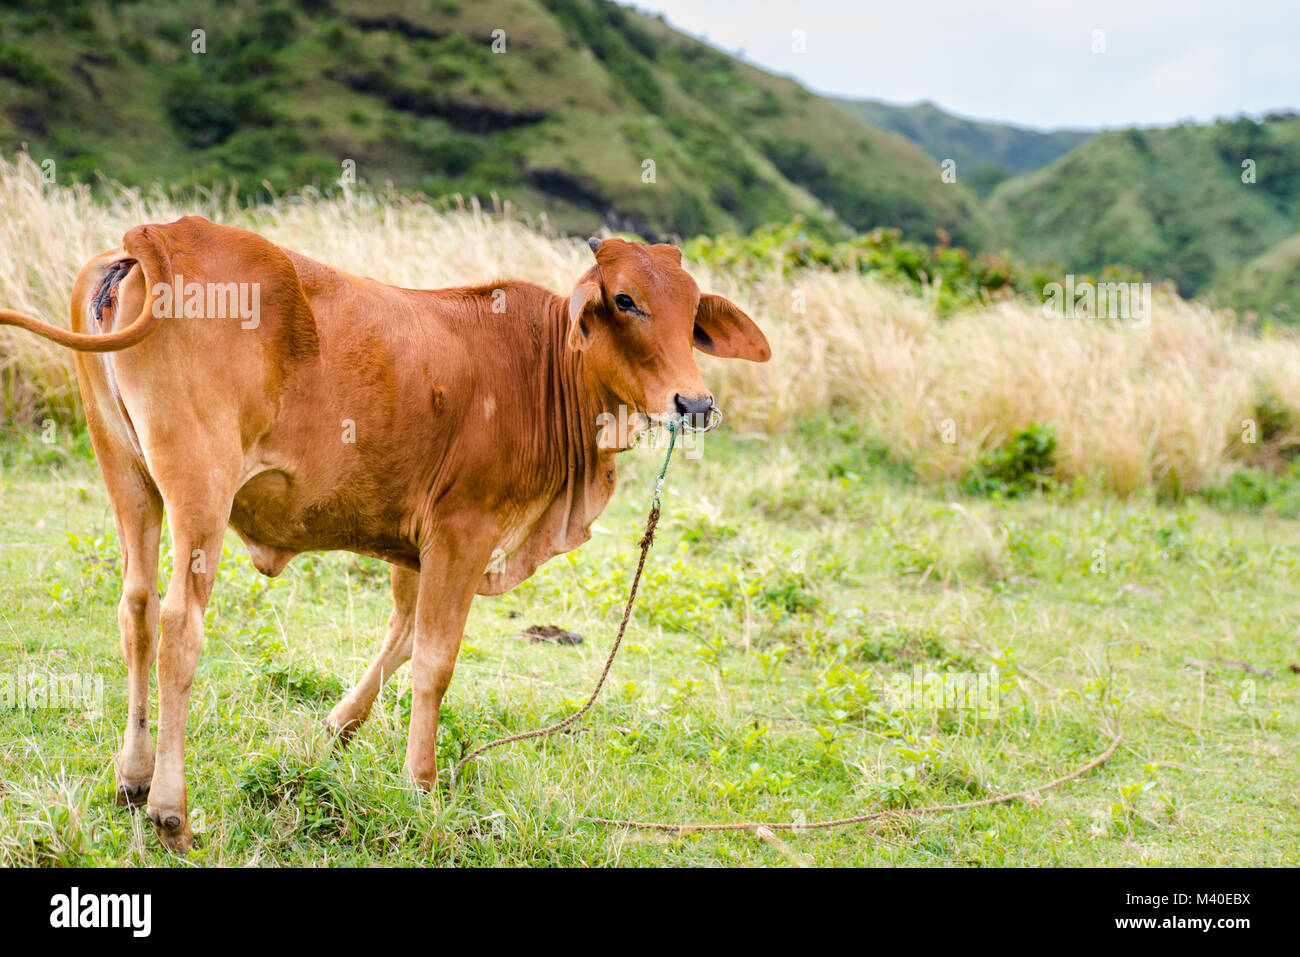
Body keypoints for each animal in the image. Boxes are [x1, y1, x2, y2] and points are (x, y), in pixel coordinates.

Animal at [0, 217, 770, 851]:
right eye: (627, 301)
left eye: (692, 310)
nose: (695, 403)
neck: (545, 366)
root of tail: (157, 236)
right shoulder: (464, 529)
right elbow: (434, 661)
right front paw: (421, 784)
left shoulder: (415, 541)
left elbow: (400, 636)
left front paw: (333, 729)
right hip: (200, 487)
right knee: (178, 627)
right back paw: (170, 809)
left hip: (127, 473)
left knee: (133, 609)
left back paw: (132, 781)